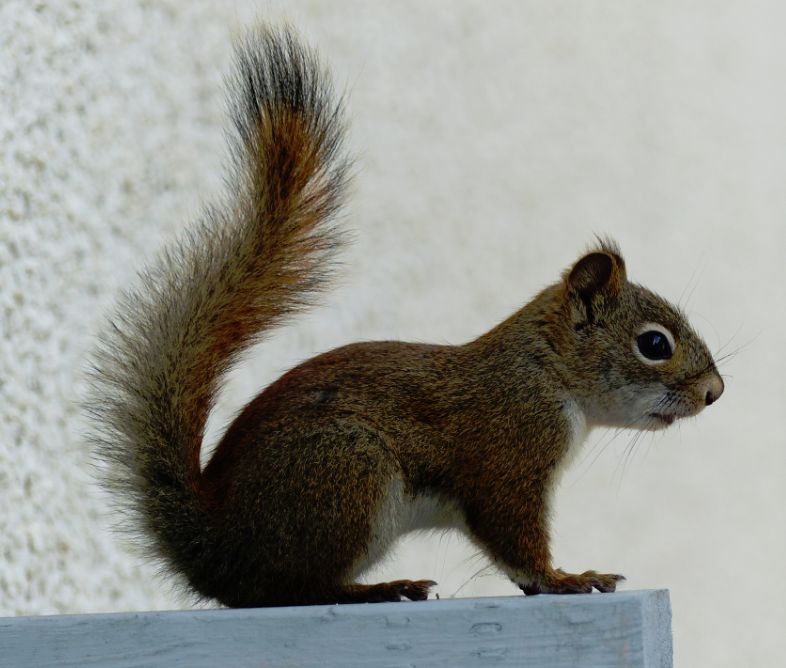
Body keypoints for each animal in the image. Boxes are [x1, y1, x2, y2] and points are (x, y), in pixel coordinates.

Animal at [88, 25, 724, 608]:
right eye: (655, 344)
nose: (714, 392)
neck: (545, 371)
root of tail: (217, 548)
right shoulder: (509, 455)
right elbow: (513, 535)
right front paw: (565, 578)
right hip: (347, 474)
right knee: (289, 590)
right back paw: (377, 588)